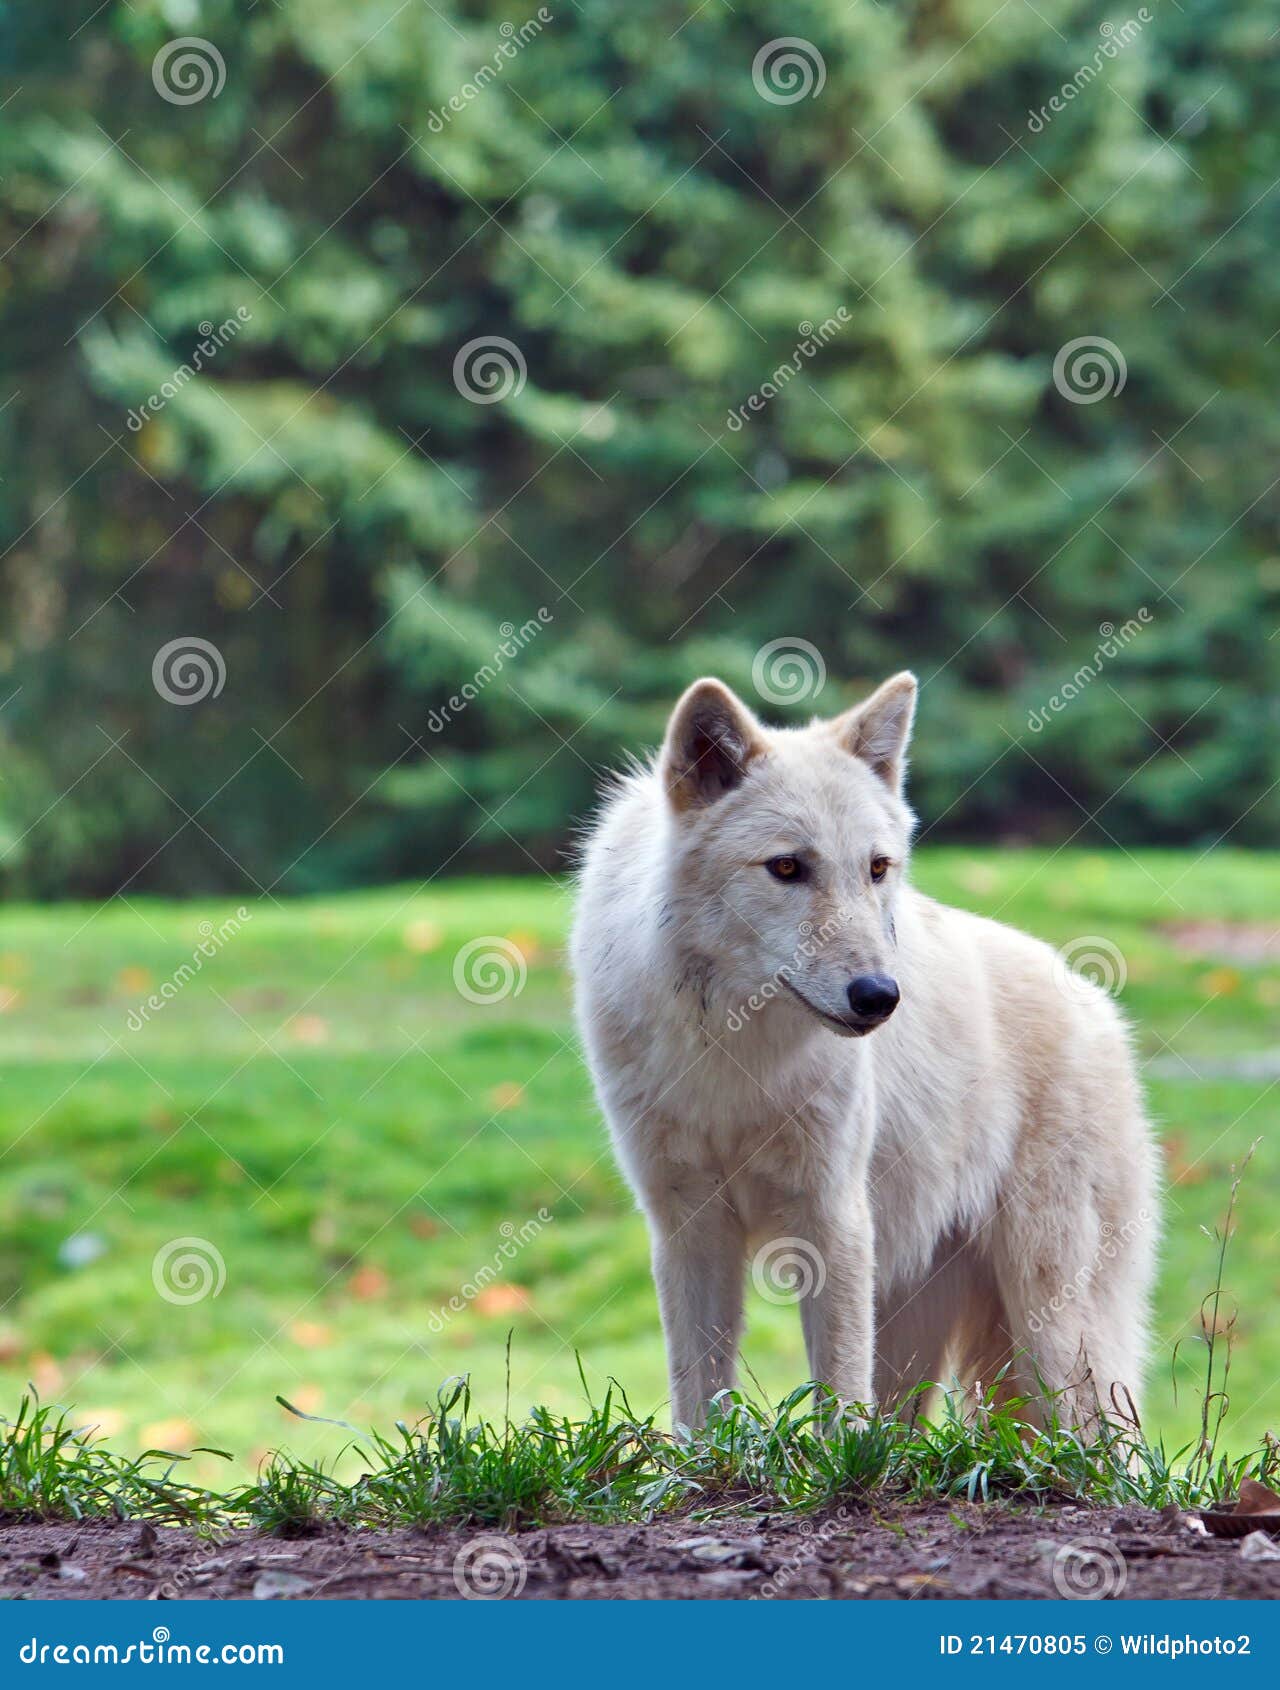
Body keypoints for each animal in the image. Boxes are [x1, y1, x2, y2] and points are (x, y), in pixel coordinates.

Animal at [570, 672, 1157, 1431]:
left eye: (877, 868)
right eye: (787, 867)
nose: (880, 996)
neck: (735, 1050)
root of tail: (1100, 1009)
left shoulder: (834, 1217)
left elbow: (841, 1400)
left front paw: (833, 1459)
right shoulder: (687, 1228)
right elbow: (699, 1401)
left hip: (1055, 1336)